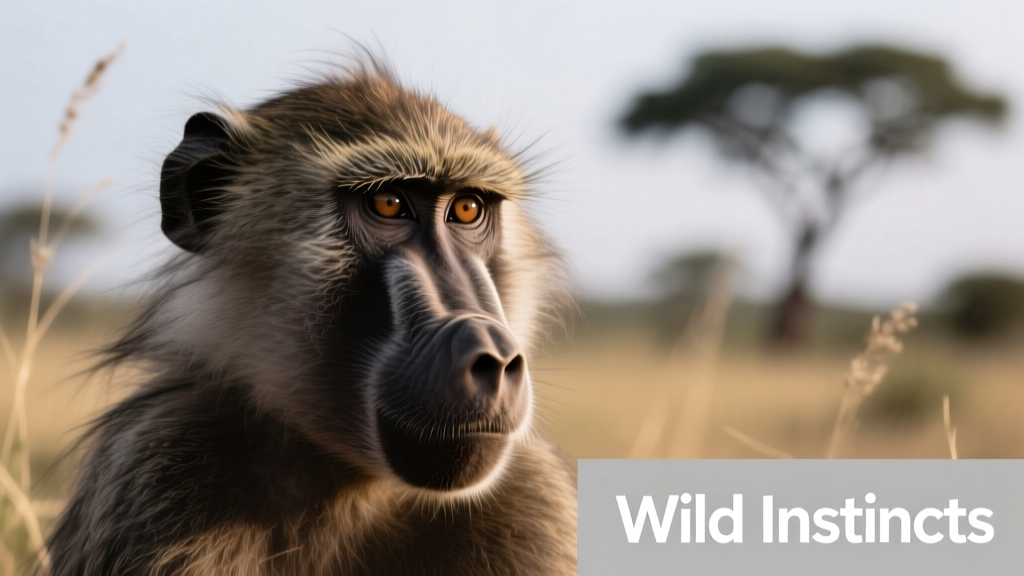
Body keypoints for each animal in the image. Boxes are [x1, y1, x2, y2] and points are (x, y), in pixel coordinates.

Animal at [45, 60, 576, 575]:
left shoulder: (532, 497)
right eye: (389, 205)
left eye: (467, 209)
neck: (346, 487)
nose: (492, 355)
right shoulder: (158, 469)